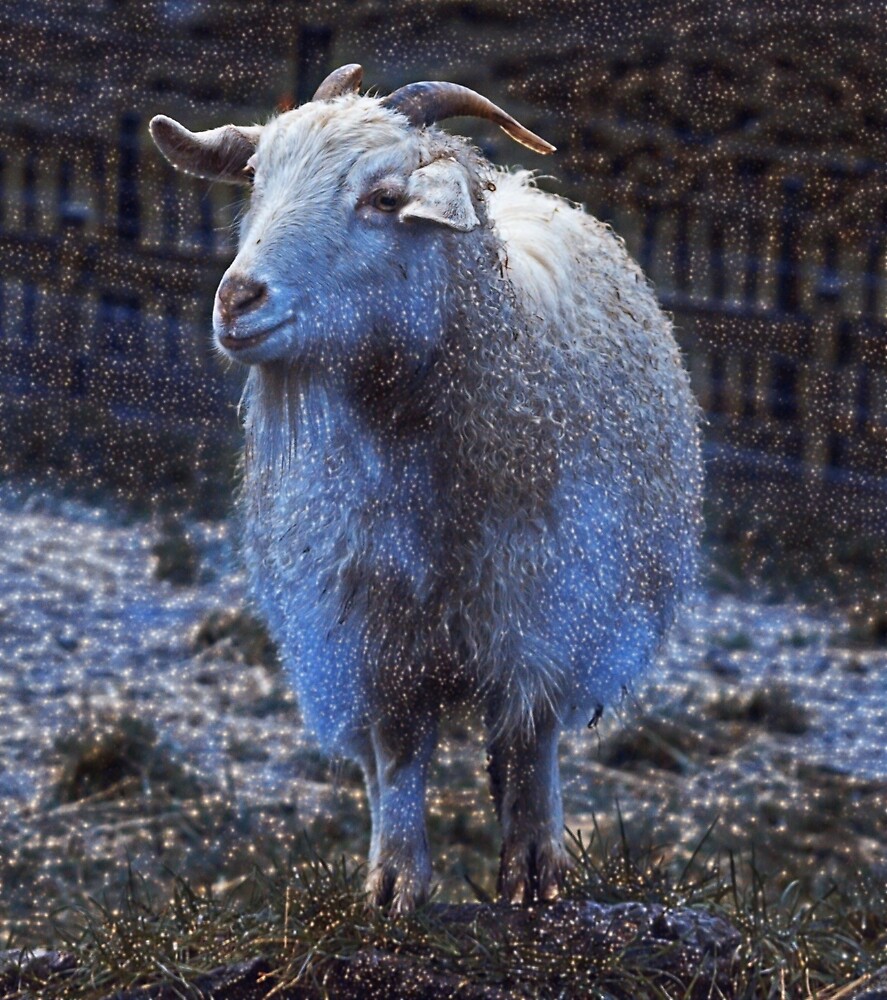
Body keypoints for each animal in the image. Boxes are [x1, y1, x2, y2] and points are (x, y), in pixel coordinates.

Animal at [150, 64, 702, 912]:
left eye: (383, 198)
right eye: (256, 181)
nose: (238, 299)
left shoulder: (545, 605)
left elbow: (529, 735)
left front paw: (534, 873)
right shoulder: (365, 623)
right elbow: (400, 747)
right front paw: (394, 885)